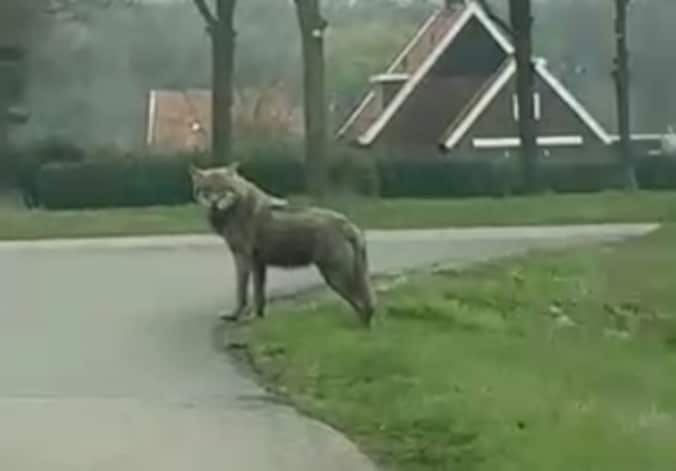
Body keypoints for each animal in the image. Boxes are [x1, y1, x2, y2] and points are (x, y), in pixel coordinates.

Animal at [190, 163, 376, 326]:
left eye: (223, 189)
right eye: (208, 190)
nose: (214, 203)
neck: (236, 207)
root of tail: (348, 224)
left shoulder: (242, 258)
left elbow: (241, 292)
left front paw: (236, 316)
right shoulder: (258, 264)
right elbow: (259, 295)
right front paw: (258, 318)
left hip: (336, 278)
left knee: (362, 304)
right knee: (367, 303)